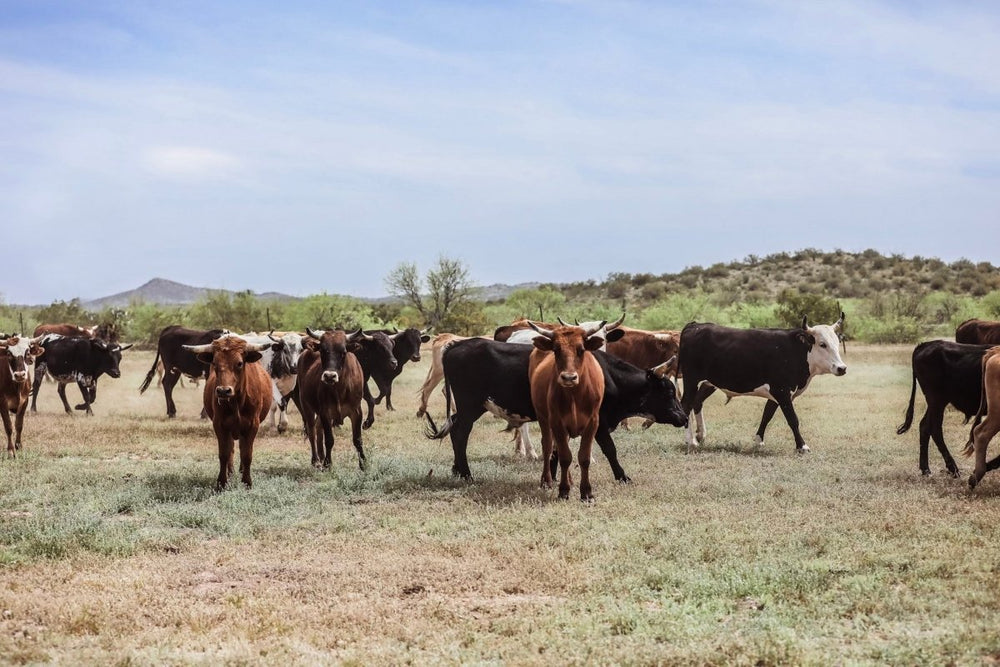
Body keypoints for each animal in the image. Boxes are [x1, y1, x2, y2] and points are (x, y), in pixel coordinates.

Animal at [182, 336, 273, 489]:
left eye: (240, 363)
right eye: (214, 362)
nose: (223, 391)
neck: (237, 402)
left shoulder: (252, 425)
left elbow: (247, 454)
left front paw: (247, 482)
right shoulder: (220, 425)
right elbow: (224, 454)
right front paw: (222, 483)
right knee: (231, 448)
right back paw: (230, 472)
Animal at [297, 328, 368, 470]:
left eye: (343, 352)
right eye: (323, 351)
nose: (329, 376)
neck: (340, 389)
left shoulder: (357, 411)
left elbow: (357, 439)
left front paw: (364, 464)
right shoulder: (325, 412)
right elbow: (329, 439)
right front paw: (328, 464)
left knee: (318, 428)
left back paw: (321, 455)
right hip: (306, 405)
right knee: (312, 431)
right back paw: (316, 460)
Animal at [423, 338, 687, 485]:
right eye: (668, 392)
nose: (683, 417)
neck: (606, 376)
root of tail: (457, 344)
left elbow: (557, 451)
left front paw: (550, 477)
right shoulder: (599, 424)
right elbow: (611, 451)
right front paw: (623, 477)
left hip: (467, 408)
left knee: (455, 431)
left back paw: (457, 470)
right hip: (470, 406)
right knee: (460, 434)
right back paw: (467, 475)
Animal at [679, 314, 846, 453]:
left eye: (837, 343)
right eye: (822, 344)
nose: (842, 368)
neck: (795, 350)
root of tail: (695, 325)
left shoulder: (778, 393)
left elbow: (767, 414)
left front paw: (759, 440)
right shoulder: (781, 391)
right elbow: (793, 419)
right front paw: (802, 446)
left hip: (709, 383)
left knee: (697, 402)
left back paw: (700, 435)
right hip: (691, 380)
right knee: (686, 404)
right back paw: (691, 441)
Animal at [897, 340, 993, 476]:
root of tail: (925, 345)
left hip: (935, 403)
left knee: (924, 426)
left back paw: (926, 469)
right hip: (937, 400)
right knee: (934, 429)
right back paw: (953, 468)